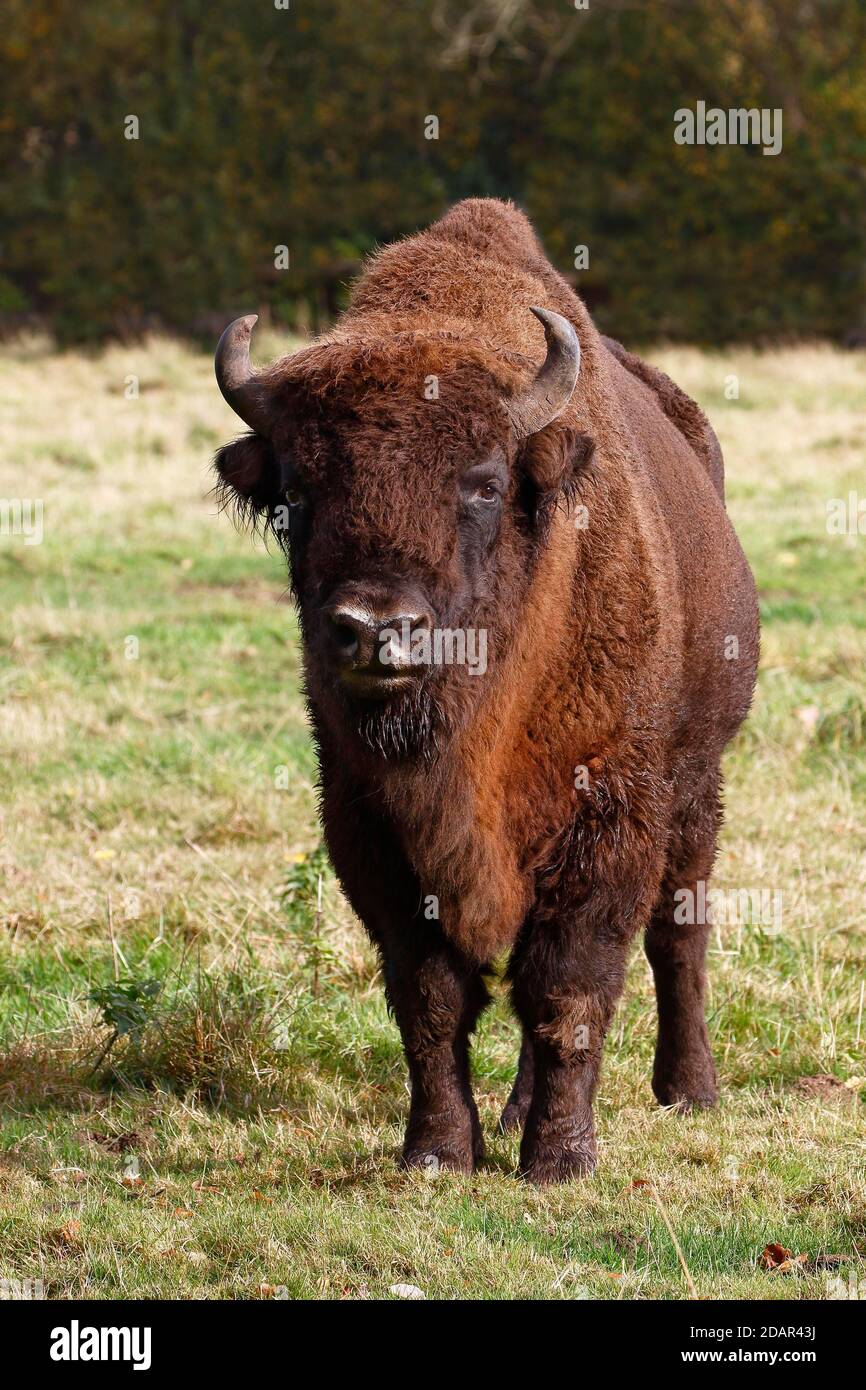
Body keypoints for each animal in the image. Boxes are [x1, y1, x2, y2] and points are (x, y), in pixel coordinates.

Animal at [213, 198, 759, 1183]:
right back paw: (511, 1115)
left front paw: (560, 1162)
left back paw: (687, 1090)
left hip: (700, 779)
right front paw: (437, 1152)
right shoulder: (369, 826)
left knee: (678, 932)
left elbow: (572, 987)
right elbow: (433, 996)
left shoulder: (611, 813)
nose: (375, 626)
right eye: (298, 488)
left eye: (484, 482)